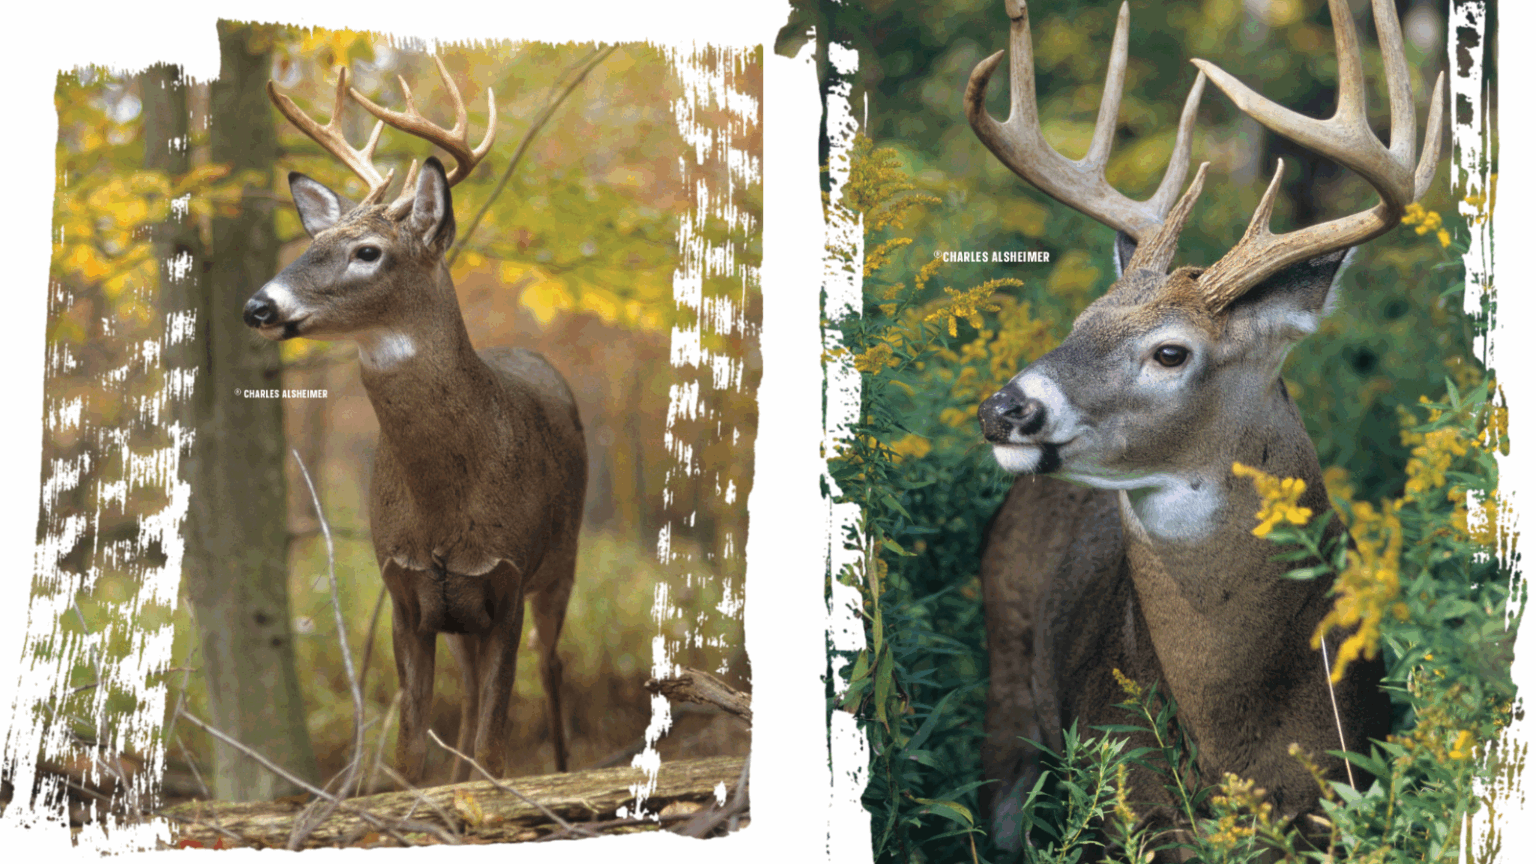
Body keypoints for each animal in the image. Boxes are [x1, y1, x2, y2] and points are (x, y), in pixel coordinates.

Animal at [242, 58, 587, 784]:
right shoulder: (406, 591)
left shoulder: (508, 579)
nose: (258, 306)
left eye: (368, 251)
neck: (443, 503)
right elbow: (410, 749)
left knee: (553, 668)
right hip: (461, 619)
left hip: (561, 564)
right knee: (469, 702)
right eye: (315, 240)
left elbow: (493, 747)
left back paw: (563, 771)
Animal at [964, 0, 1442, 853]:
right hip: (1006, 671)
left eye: (1169, 352)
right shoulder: (1133, 802)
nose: (1005, 408)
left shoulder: (1341, 802)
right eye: (1081, 321)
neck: (1236, 737)